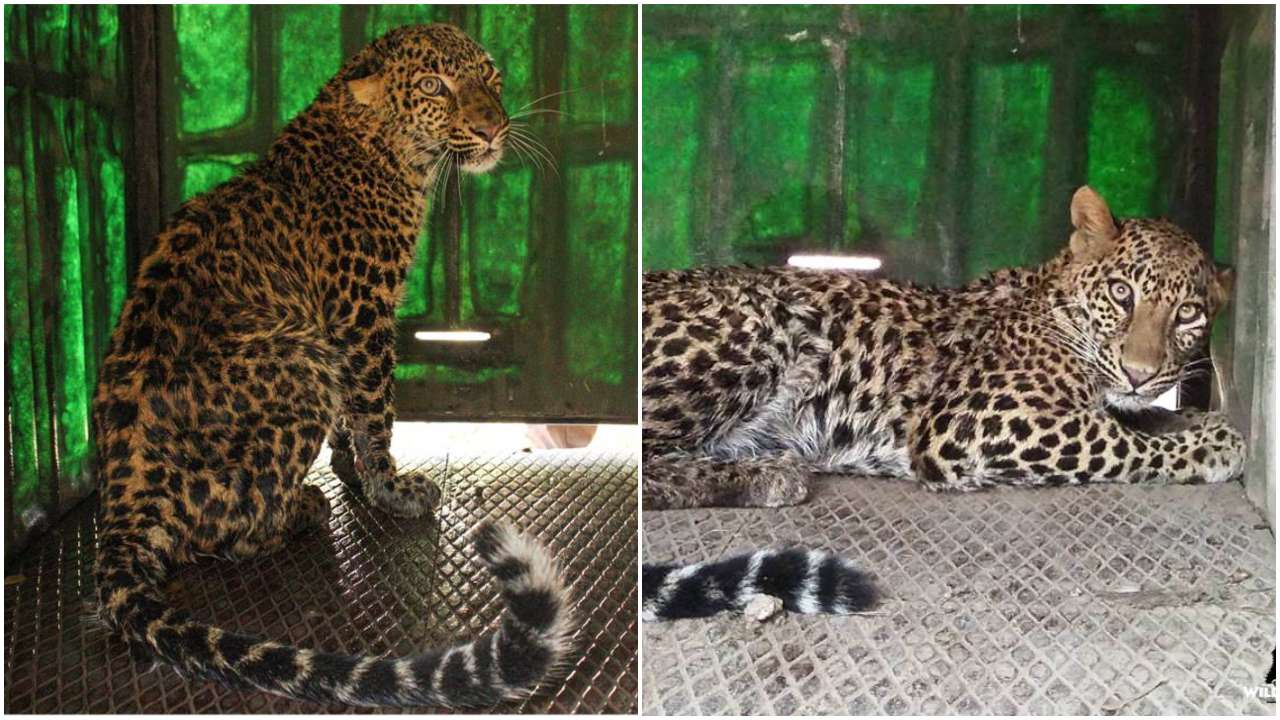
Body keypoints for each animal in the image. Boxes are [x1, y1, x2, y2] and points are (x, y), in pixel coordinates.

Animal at [91, 24, 573, 707]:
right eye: (434, 86)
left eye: (491, 78)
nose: (492, 128)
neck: (386, 149)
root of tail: (125, 494)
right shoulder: (359, 313)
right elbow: (375, 405)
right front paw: (390, 489)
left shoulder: (351, 321)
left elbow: (357, 410)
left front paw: (351, 465)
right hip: (302, 358)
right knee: (231, 536)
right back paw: (302, 507)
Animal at [641, 186, 1245, 512]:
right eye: (1122, 293)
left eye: (1187, 314)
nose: (1141, 373)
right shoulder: (975, 420)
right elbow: (1122, 445)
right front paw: (1220, 446)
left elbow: (1146, 421)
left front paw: (1206, 422)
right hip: (759, 322)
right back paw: (769, 473)